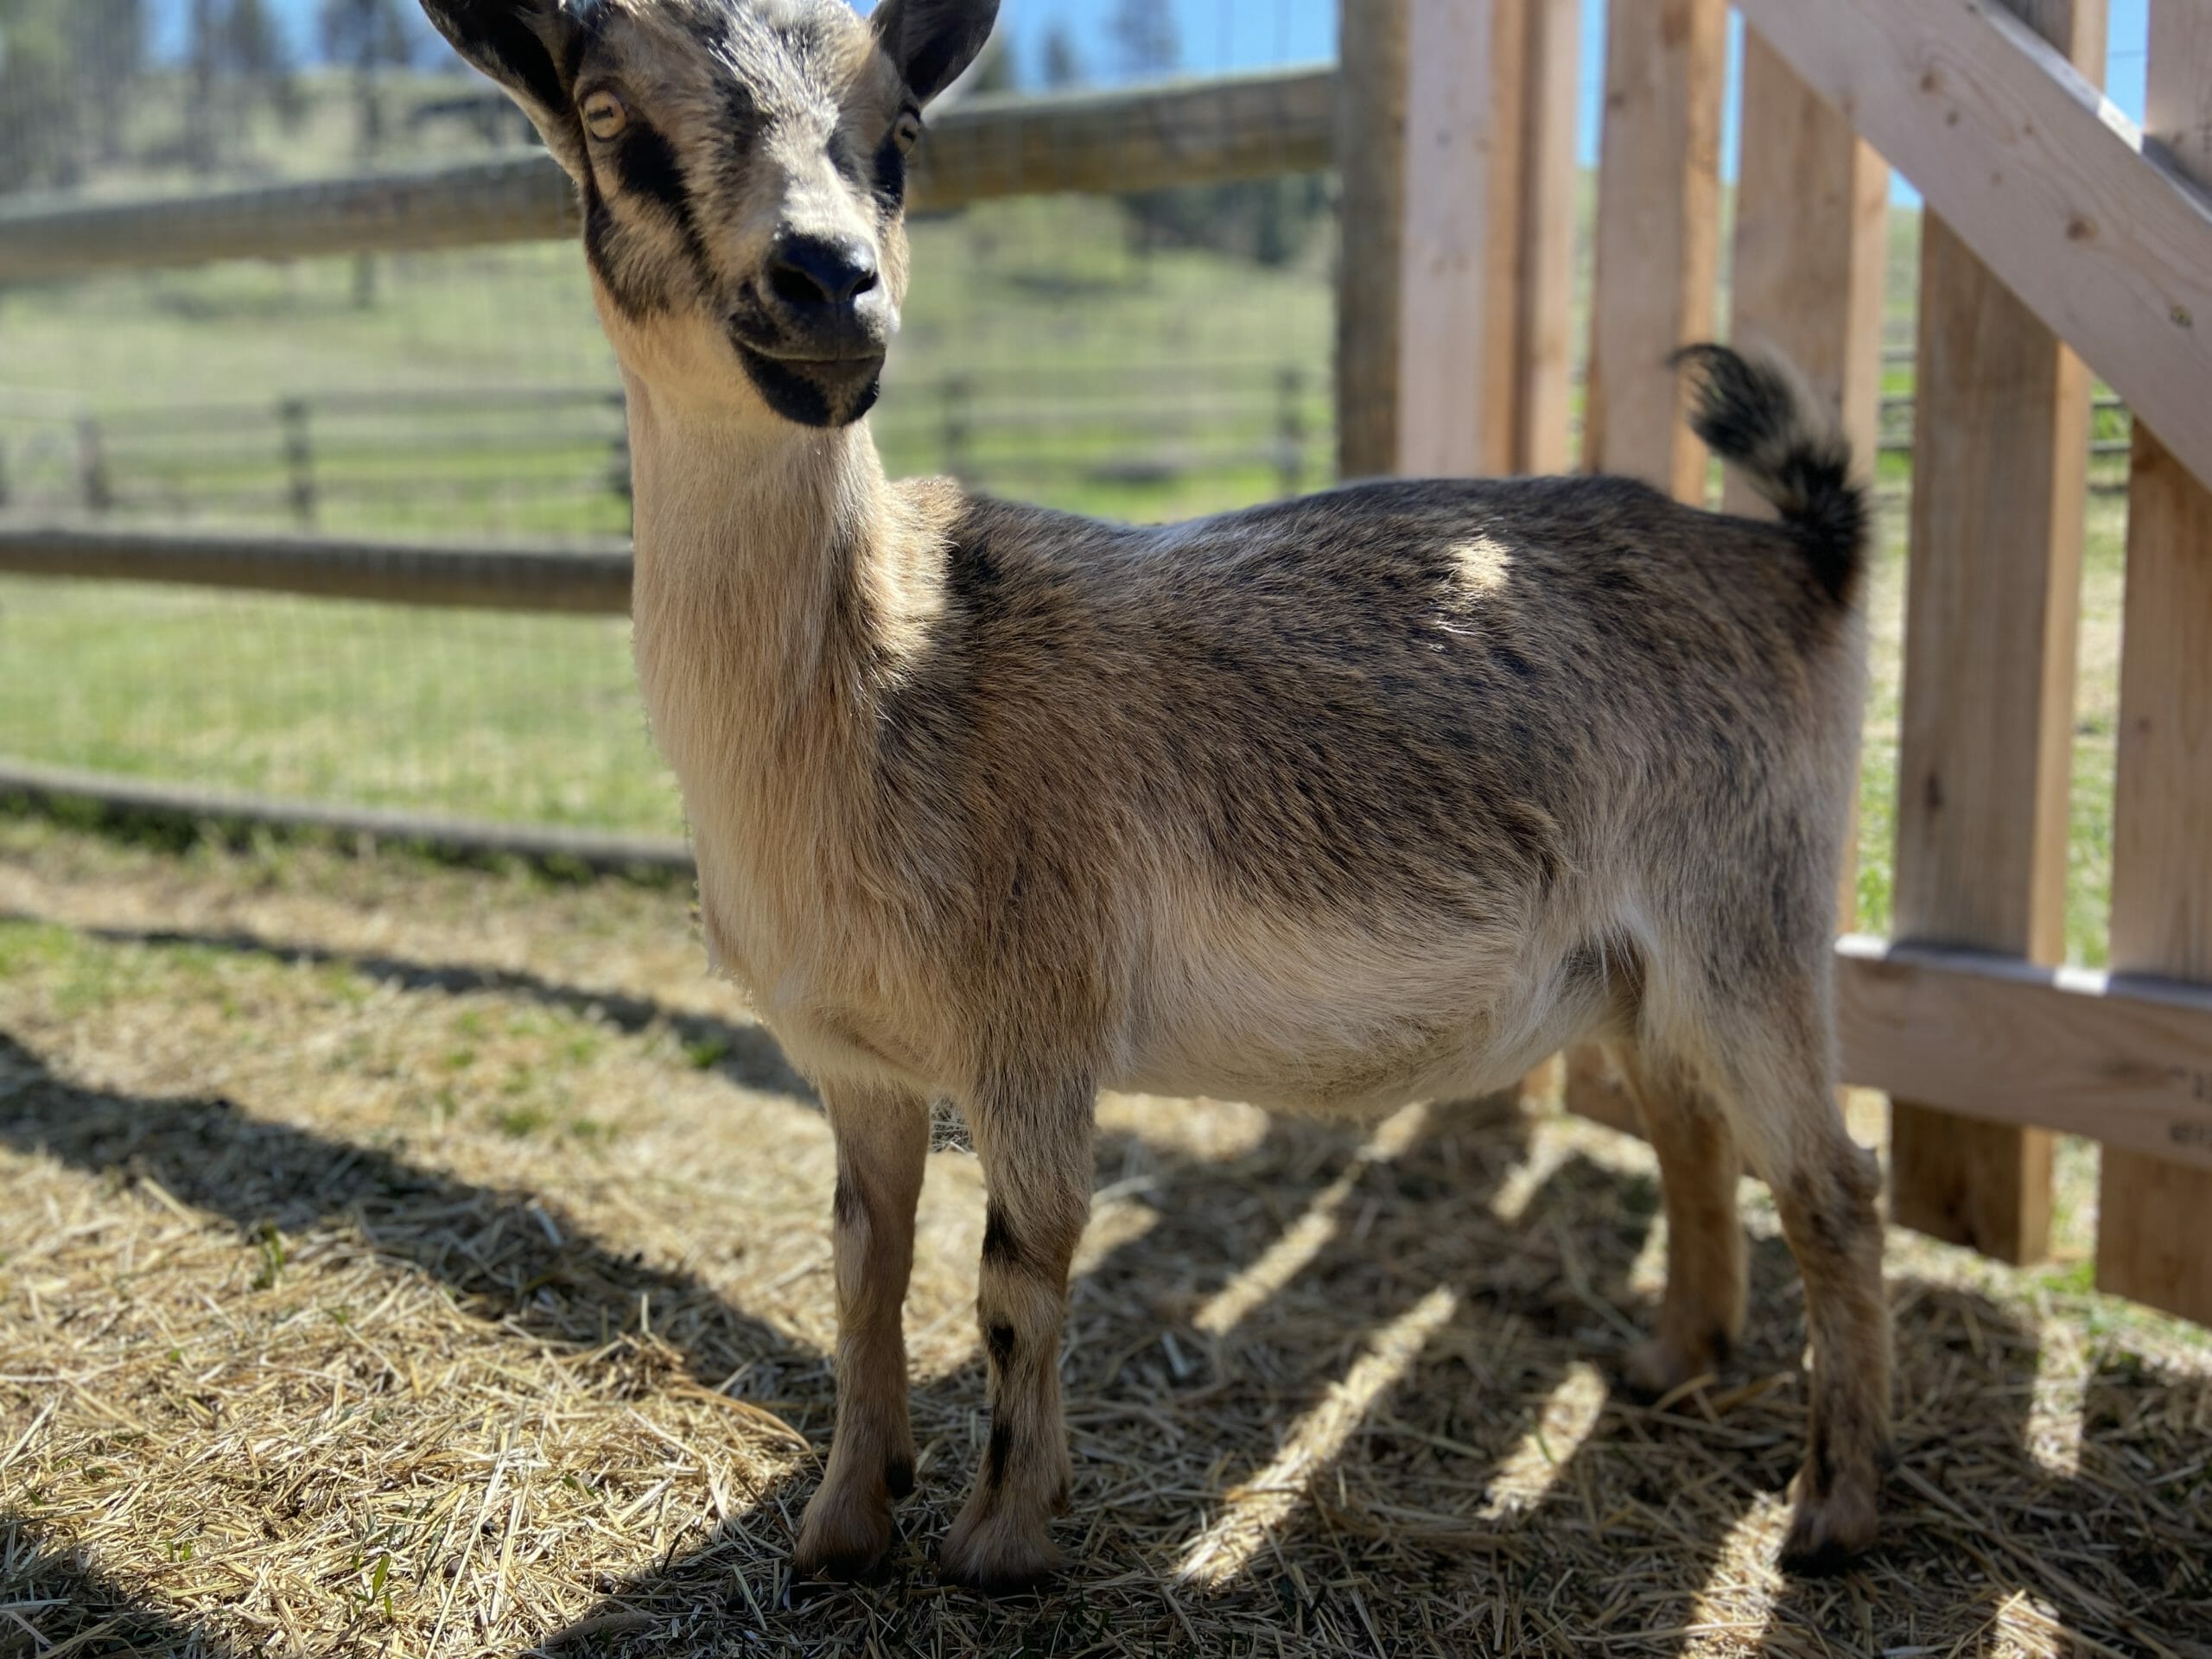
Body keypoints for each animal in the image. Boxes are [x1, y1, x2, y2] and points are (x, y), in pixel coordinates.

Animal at [419, 0, 1890, 1592]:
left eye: (901, 132)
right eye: (608, 117)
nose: (827, 284)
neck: (885, 680)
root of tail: (1803, 561)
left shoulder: (1036, 1026)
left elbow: (1018, 1275)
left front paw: (1001, 1538)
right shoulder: (857, 1061)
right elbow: (863, 1270)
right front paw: (845, 1522)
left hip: (1749, 914)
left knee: (1834, 1185)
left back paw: (1833, 1516)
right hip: (1638, 962)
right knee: (1694, 1132)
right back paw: (1672, 1363)